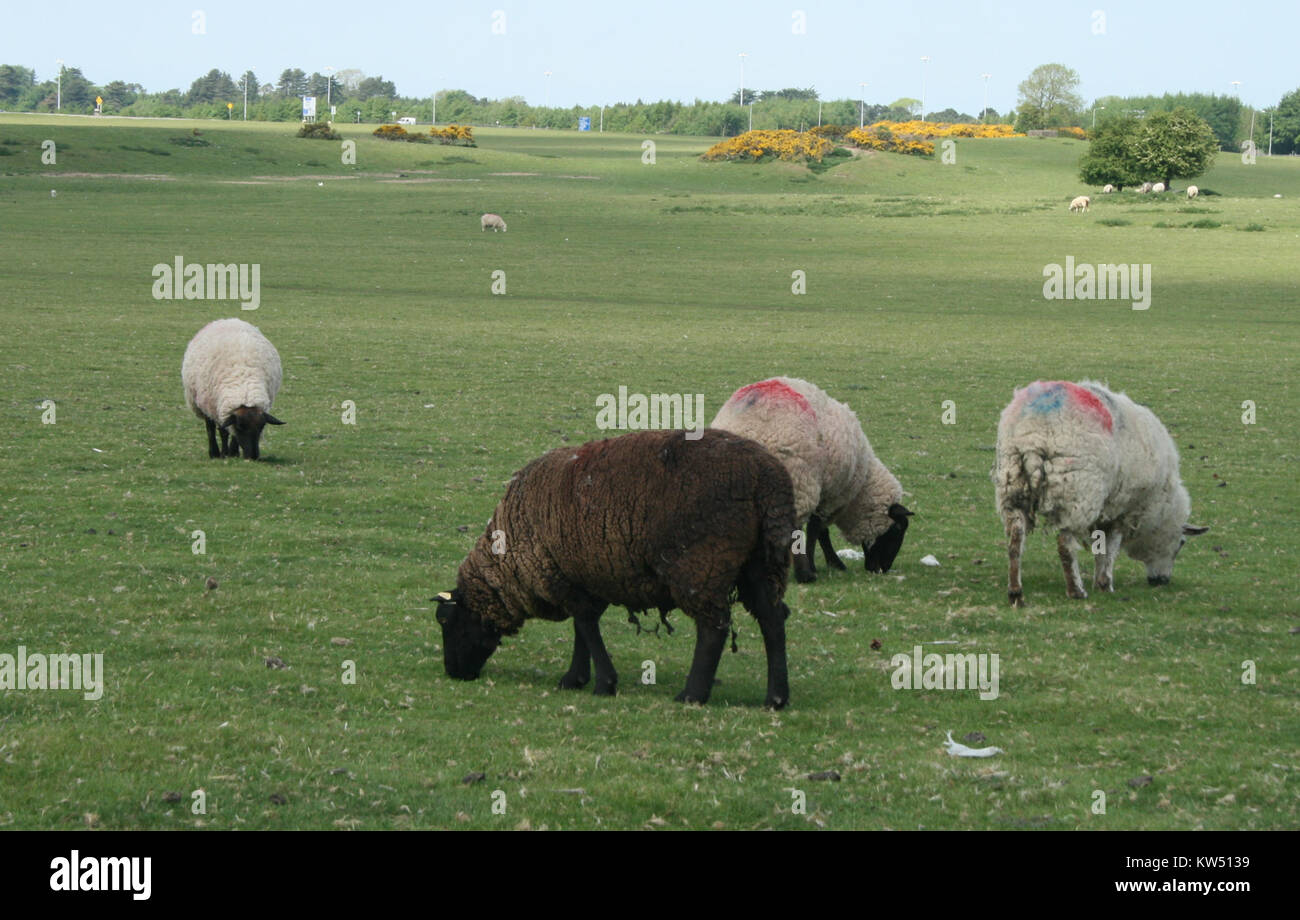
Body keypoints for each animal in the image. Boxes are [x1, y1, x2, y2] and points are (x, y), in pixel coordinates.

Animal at [181, 318, 284, 460]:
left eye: (262, 426)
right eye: (240, 426)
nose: (253, 456)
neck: (243, 388)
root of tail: (227, 320)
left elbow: (233, 435)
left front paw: (233, 452)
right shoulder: (218, 408)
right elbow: (222, 432)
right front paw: (224, 453)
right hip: (205, 403)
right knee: (210, 428)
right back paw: (214, 452)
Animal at [433, 428, 797, 708]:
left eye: (446, 622)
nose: (453, 673)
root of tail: (768, 479)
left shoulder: (563, 578)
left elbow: (586, 627)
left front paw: (603, 683)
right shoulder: (583, 576)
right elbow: (583, 629)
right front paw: (576, 678)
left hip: (702, 565)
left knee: (714, 628)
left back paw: (692, 694)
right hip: (762, 562)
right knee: (773, 618)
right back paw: (775, 698)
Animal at [711, 377, 911, 583]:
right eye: (898, 528)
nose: (881, 569)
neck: (860, 488)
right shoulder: (828, 496)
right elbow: (817, 531)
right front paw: (824, 564)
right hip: (795, 482)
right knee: (792, 530)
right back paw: (805, 574)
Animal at [992, 380, 1208, 607]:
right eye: (1181, 543)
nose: (1161, 581)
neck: (1159, 504)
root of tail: (1033, 431)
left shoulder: (1107, 507)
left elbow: (1100, 546)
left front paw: (1099, 581)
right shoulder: (1122, 509)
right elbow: (1110, 548)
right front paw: (1105, 584)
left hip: (1012, 481)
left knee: (1015, 538)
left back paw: (1016, 593)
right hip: (1076, 489)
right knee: (1064, 544)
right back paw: (1076, 591)